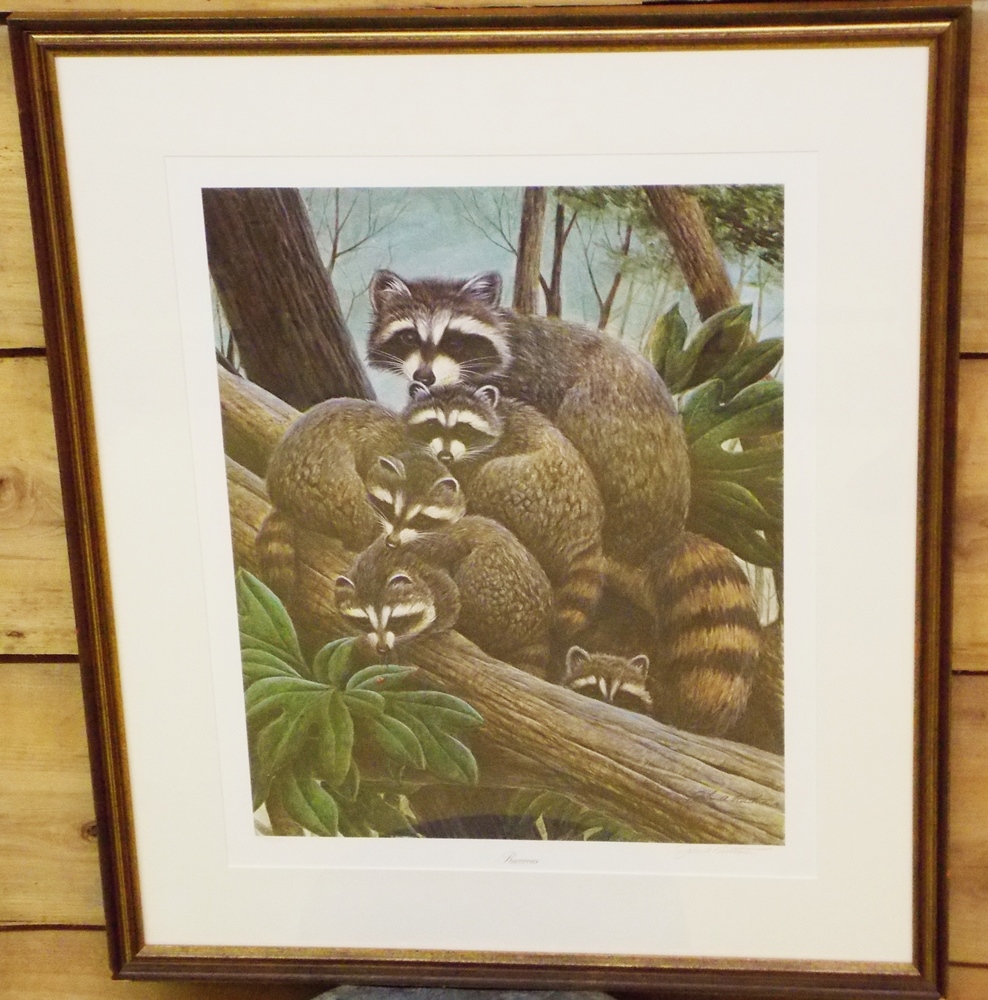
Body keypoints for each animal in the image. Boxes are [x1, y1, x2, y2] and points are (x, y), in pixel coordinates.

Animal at [336, 516, 553, 676]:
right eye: (364, 621)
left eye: (395, 620)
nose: (382, 648)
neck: (375, 570)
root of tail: (539, 629)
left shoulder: (430, 572)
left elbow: (448, 603)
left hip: (500, 586)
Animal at [403, 381, 605, 638]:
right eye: (431, 425)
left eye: (463, 429)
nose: (445, 456)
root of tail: (587, 525)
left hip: (535, 494)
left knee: (490, 477)